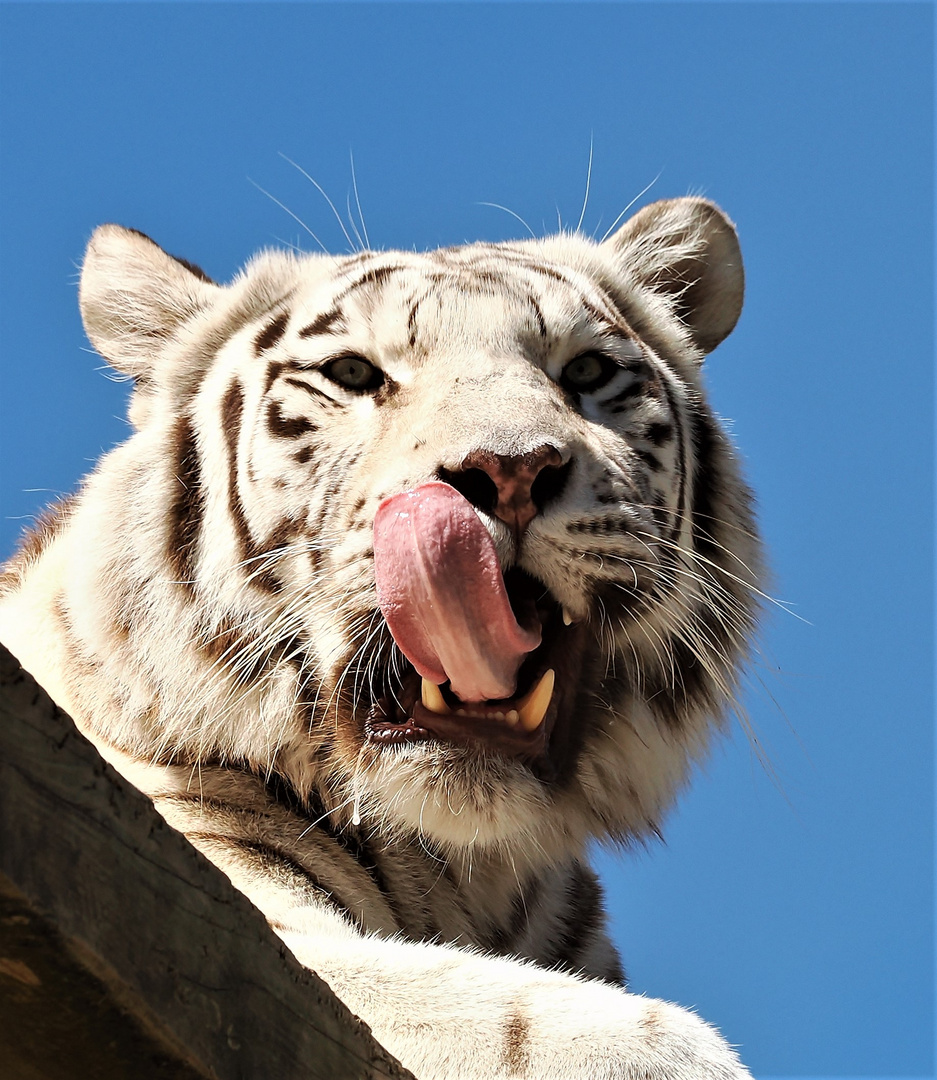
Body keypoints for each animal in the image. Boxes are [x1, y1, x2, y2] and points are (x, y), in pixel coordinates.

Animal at [0, 195, 761, 1079]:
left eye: (586, 373)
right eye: (355, 374)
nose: (509, 471)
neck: (468, 874)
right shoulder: (230, 918)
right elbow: (580, 1030)